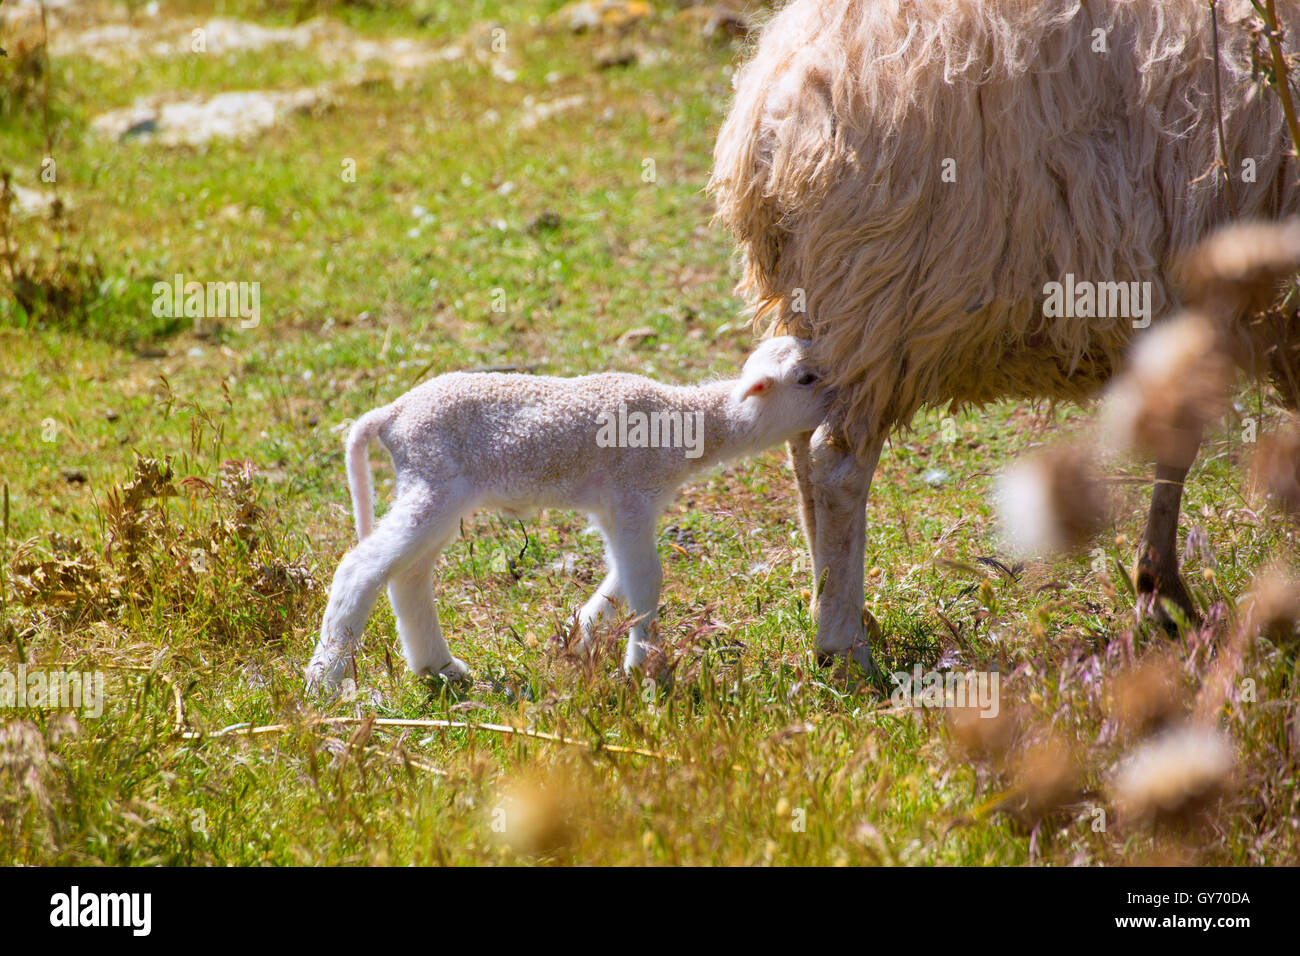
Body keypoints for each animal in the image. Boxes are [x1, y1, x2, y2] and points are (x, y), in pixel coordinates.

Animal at [304, 337, 829, 693]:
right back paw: (325, 681)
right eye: (806, 378)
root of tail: (391, 415)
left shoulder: (618, 509)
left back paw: (440, 668)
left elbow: (622, 579)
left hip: (435, 491)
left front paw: (579, 640)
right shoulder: (631, 495)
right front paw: (645, 668)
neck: (685, 426)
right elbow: (647, 578)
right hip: (432, 482)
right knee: (361, 568)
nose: (842, 396)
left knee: (408, 574)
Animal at [708, 0, 1300, 673]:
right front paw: (1165, 595)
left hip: (823, 303)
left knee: (800, 444)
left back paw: (843, 612)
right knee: (836, 463)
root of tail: (777, 95)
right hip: (881, 295)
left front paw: (1161, 592)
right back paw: (846, 647)